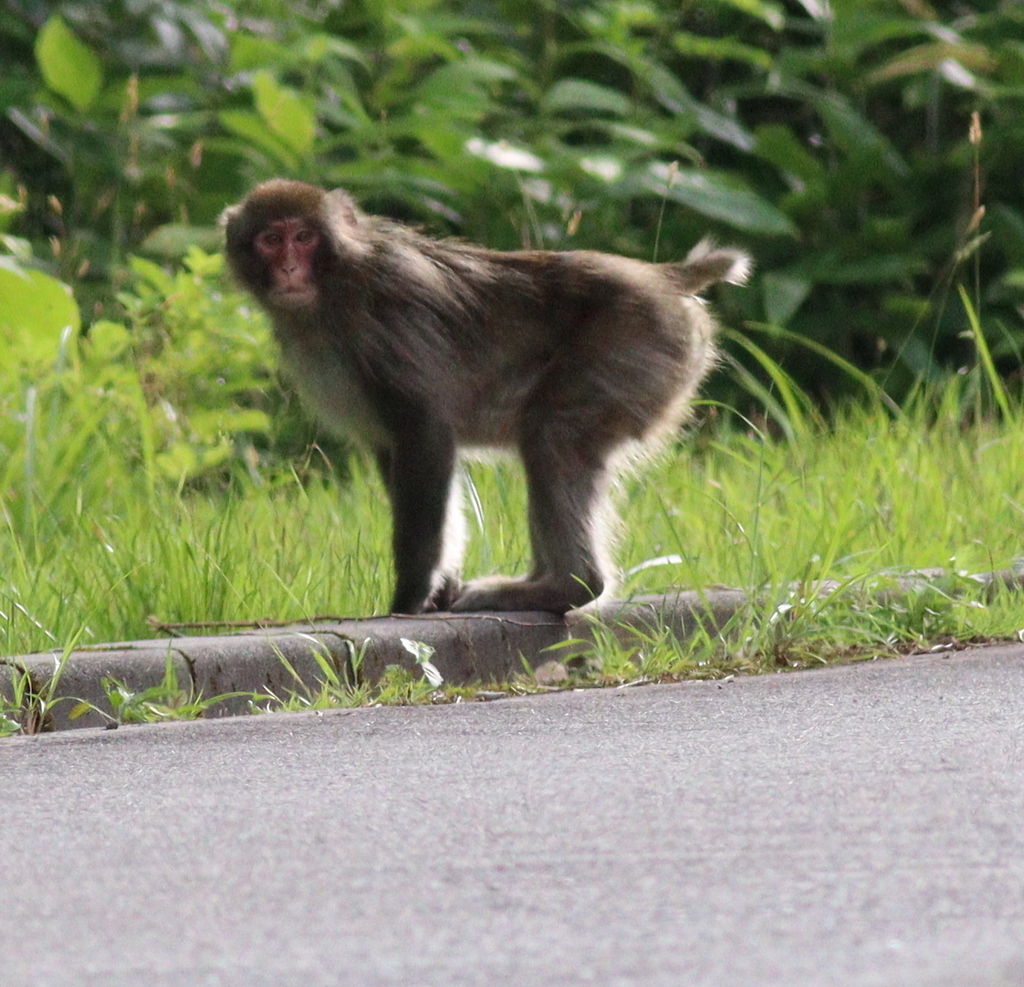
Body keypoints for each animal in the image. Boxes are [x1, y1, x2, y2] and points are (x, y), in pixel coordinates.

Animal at [221, 179, 750, 615]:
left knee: (550, 436)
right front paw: (441, 587)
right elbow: (399, 452)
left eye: (303, 237)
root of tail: (664, 278)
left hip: (632, 346)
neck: (335, 287)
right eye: (270, 240)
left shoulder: (384, 327)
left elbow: (426, 435)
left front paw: (408, 600)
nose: (290, 267)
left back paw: (567, 587)